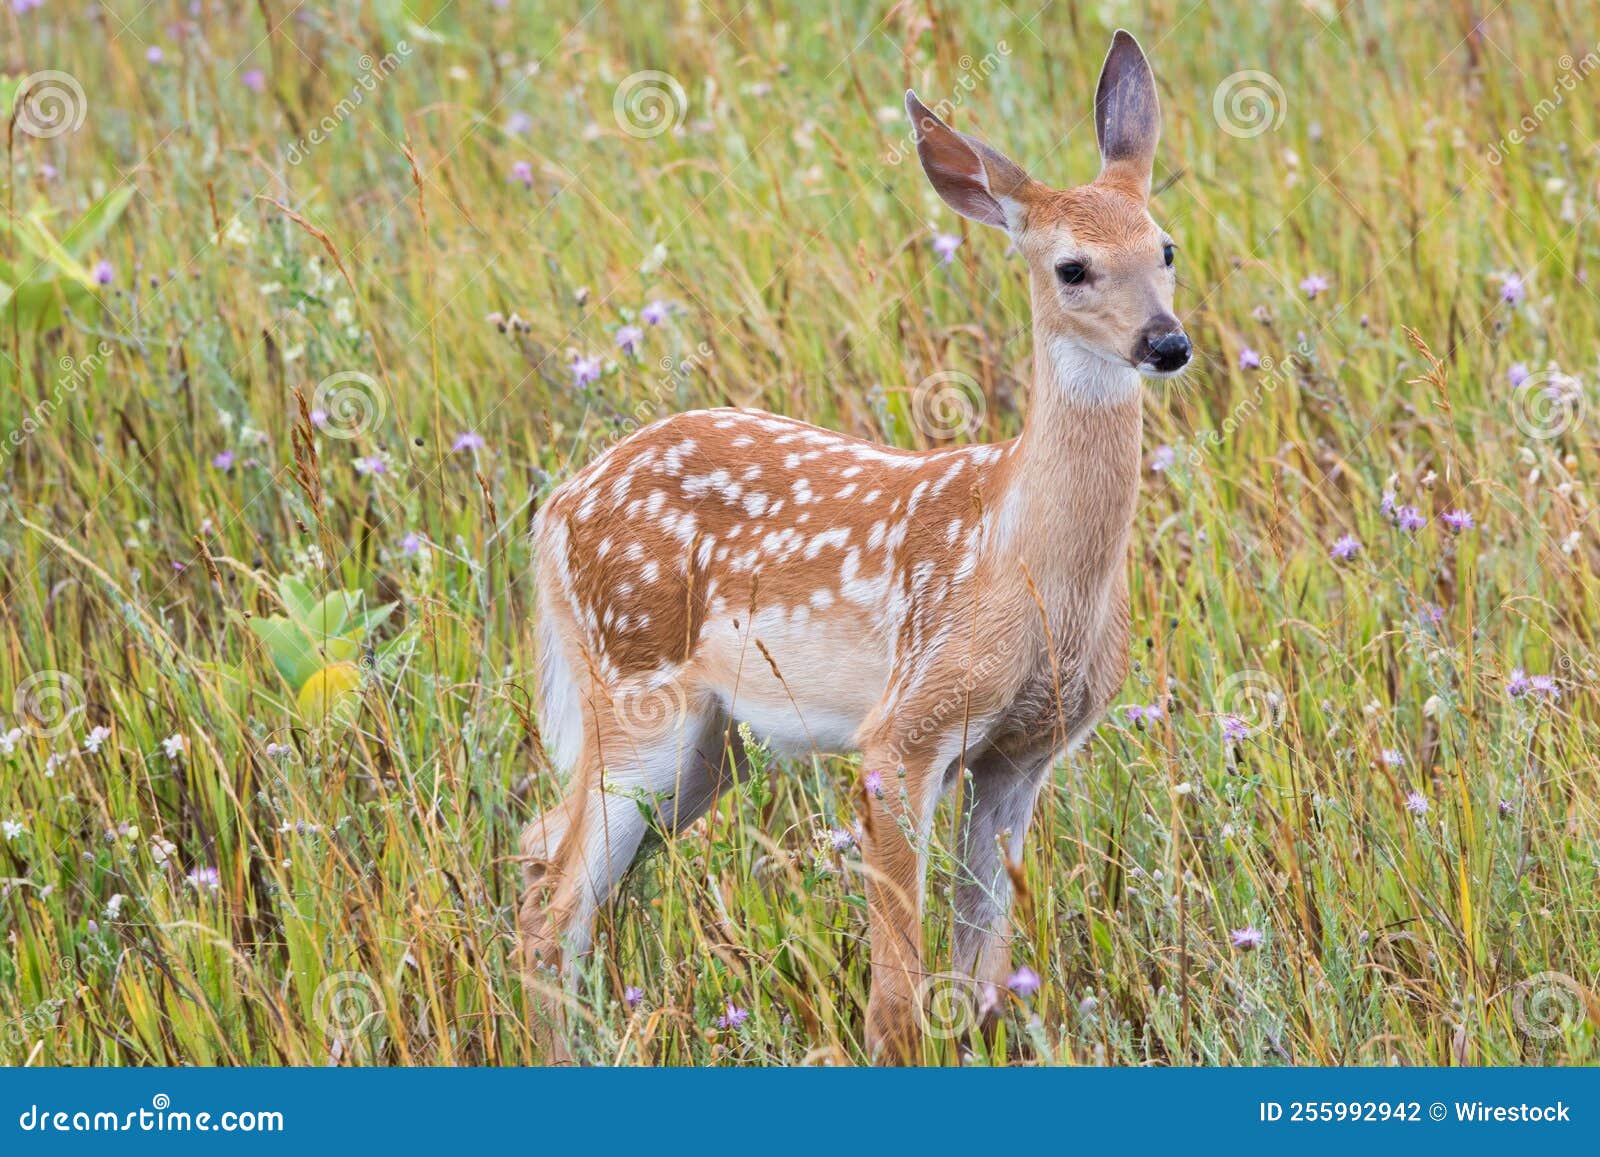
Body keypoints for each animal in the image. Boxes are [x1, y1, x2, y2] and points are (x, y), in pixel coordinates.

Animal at [518, 30, 1189, 1063]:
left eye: (1165, 248)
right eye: (1073, 267)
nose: (1167, 341)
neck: (1028, 562)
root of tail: (555, 510)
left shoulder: (1024, 752)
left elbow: (983, 981)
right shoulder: (903, 730)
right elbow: (897, 1001)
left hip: (709, 745)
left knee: (544, 859)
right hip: (637, 694)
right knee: (554, 911)